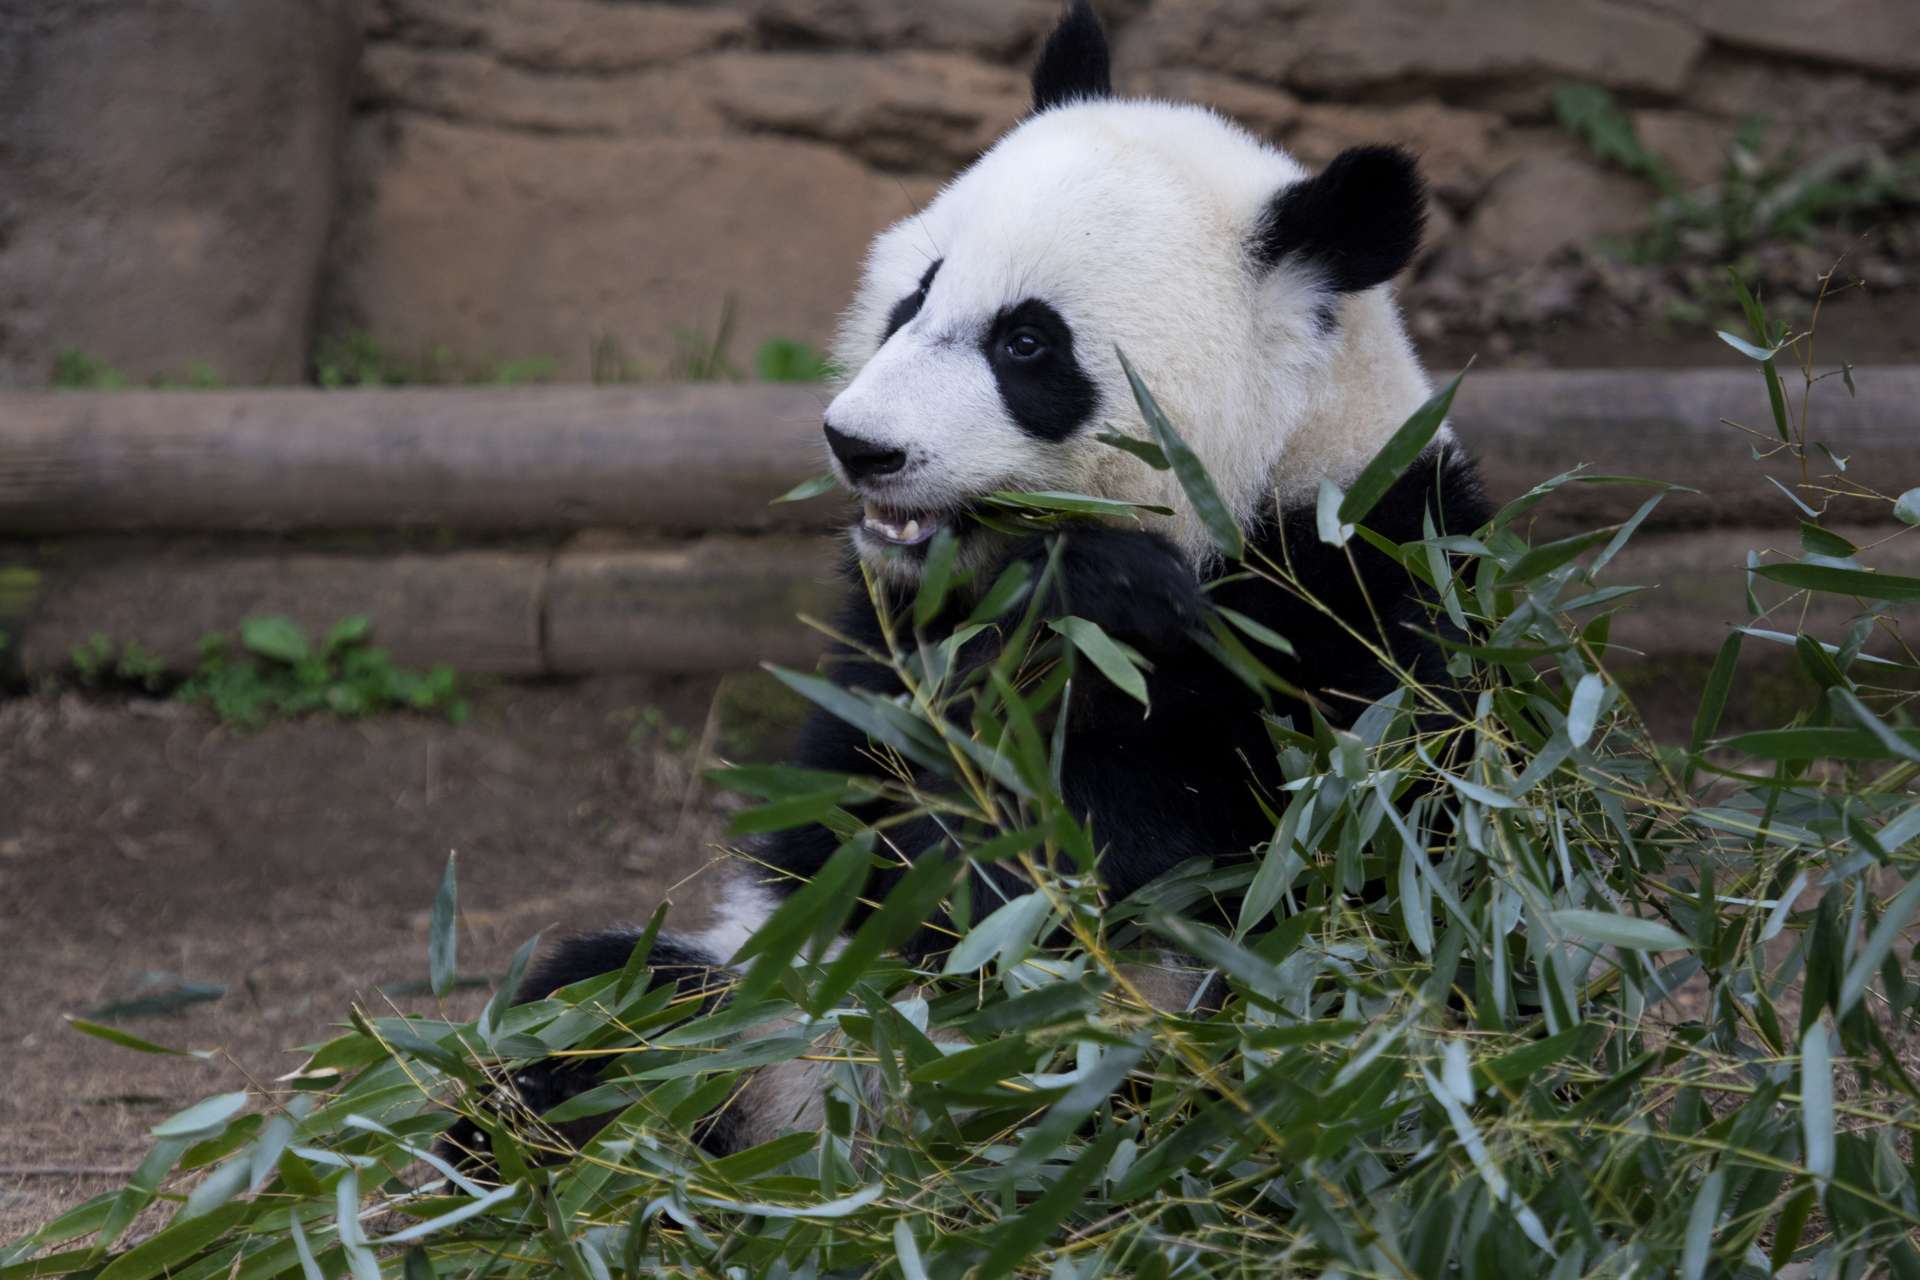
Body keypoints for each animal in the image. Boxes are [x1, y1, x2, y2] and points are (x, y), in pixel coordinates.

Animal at [456, 0, 1489, 1159]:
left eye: (1027, 342)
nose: (859, 446)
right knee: (606, 1008)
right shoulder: (891, 640)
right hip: (731, 1010)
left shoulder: (1361, 591)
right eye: (915, 294)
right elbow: (840, 831)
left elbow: (1264, 847)